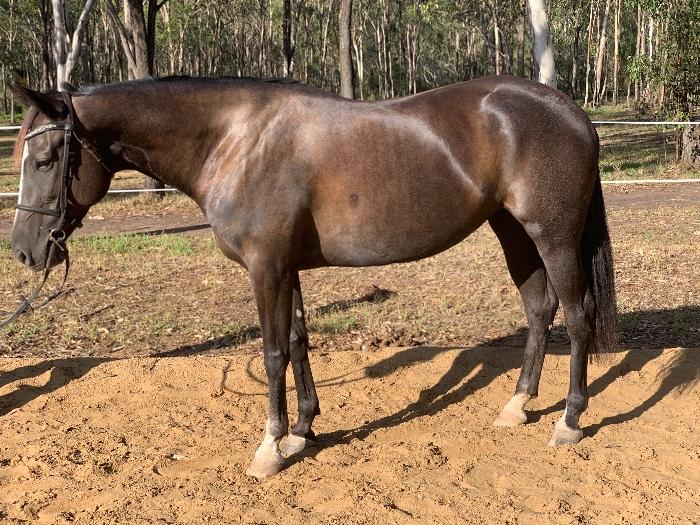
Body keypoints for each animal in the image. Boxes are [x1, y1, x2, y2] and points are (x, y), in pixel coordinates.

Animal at [7, 75, 617, 478]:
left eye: (45, 160)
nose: (23, 252)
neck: (234, 140)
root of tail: (570, 111)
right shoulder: (287, 268)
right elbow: (300, 341)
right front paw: (303, 431)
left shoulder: (266, 268)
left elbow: (274, 351)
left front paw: (270, 448)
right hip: (512, 229)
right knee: (539, 309)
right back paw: (518, 406)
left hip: (553, 236)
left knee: (577, 316)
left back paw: (569, 420)